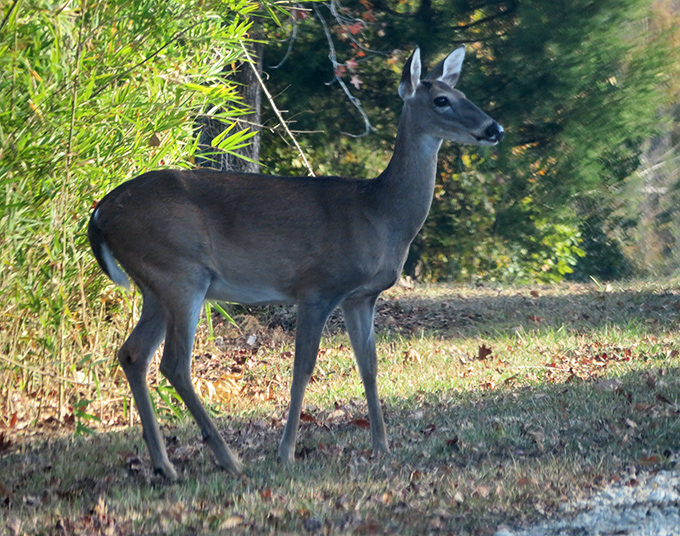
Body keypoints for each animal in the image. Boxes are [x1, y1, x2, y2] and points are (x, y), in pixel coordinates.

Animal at [88, 46, 503, 479]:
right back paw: (227, 458)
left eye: (462, 92)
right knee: (174, 364)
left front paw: (382, 446)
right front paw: (286, 452)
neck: (379, 214)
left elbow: (369, 366)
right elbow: (302, 368)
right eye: (441, 100)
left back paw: (164, 465)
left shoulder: (361, 297)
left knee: (133, 354)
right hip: (181, 273)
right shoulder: (317, 287)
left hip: (155, 285)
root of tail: (99, 214)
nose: (495, 128)